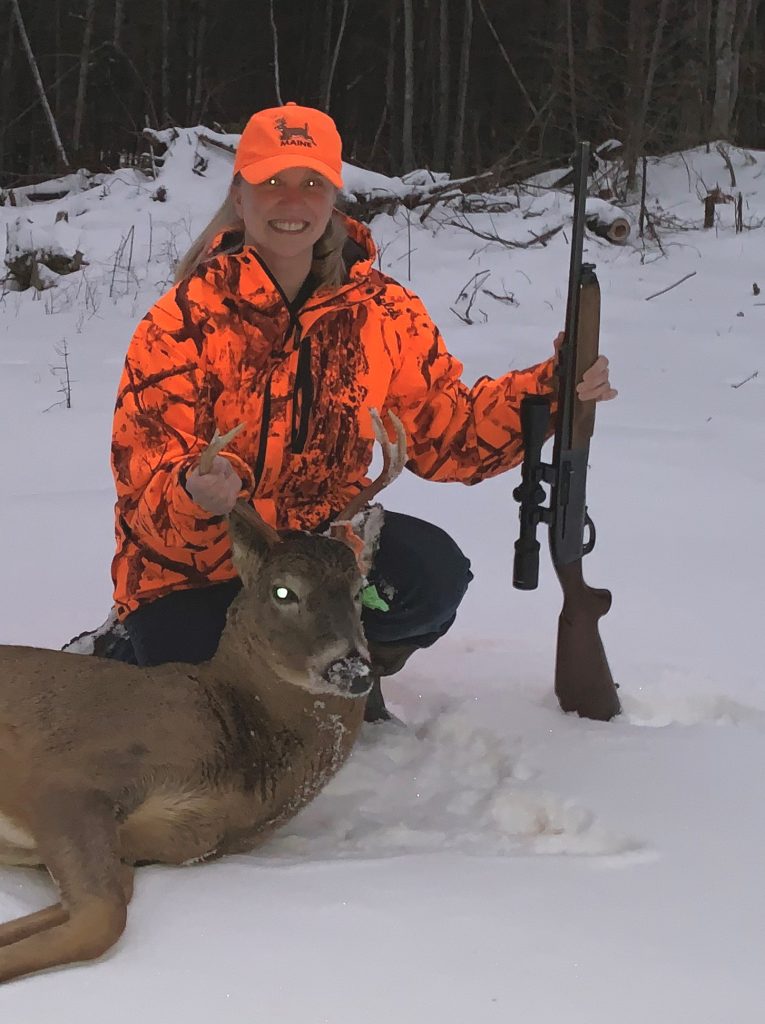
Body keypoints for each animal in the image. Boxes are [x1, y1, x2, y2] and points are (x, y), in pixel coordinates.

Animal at [0, 408, 407, 984]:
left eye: (356, 593)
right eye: (284, 591)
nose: (351, 668)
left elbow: (101, 900)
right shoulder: (68, 774)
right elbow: (102, 918)